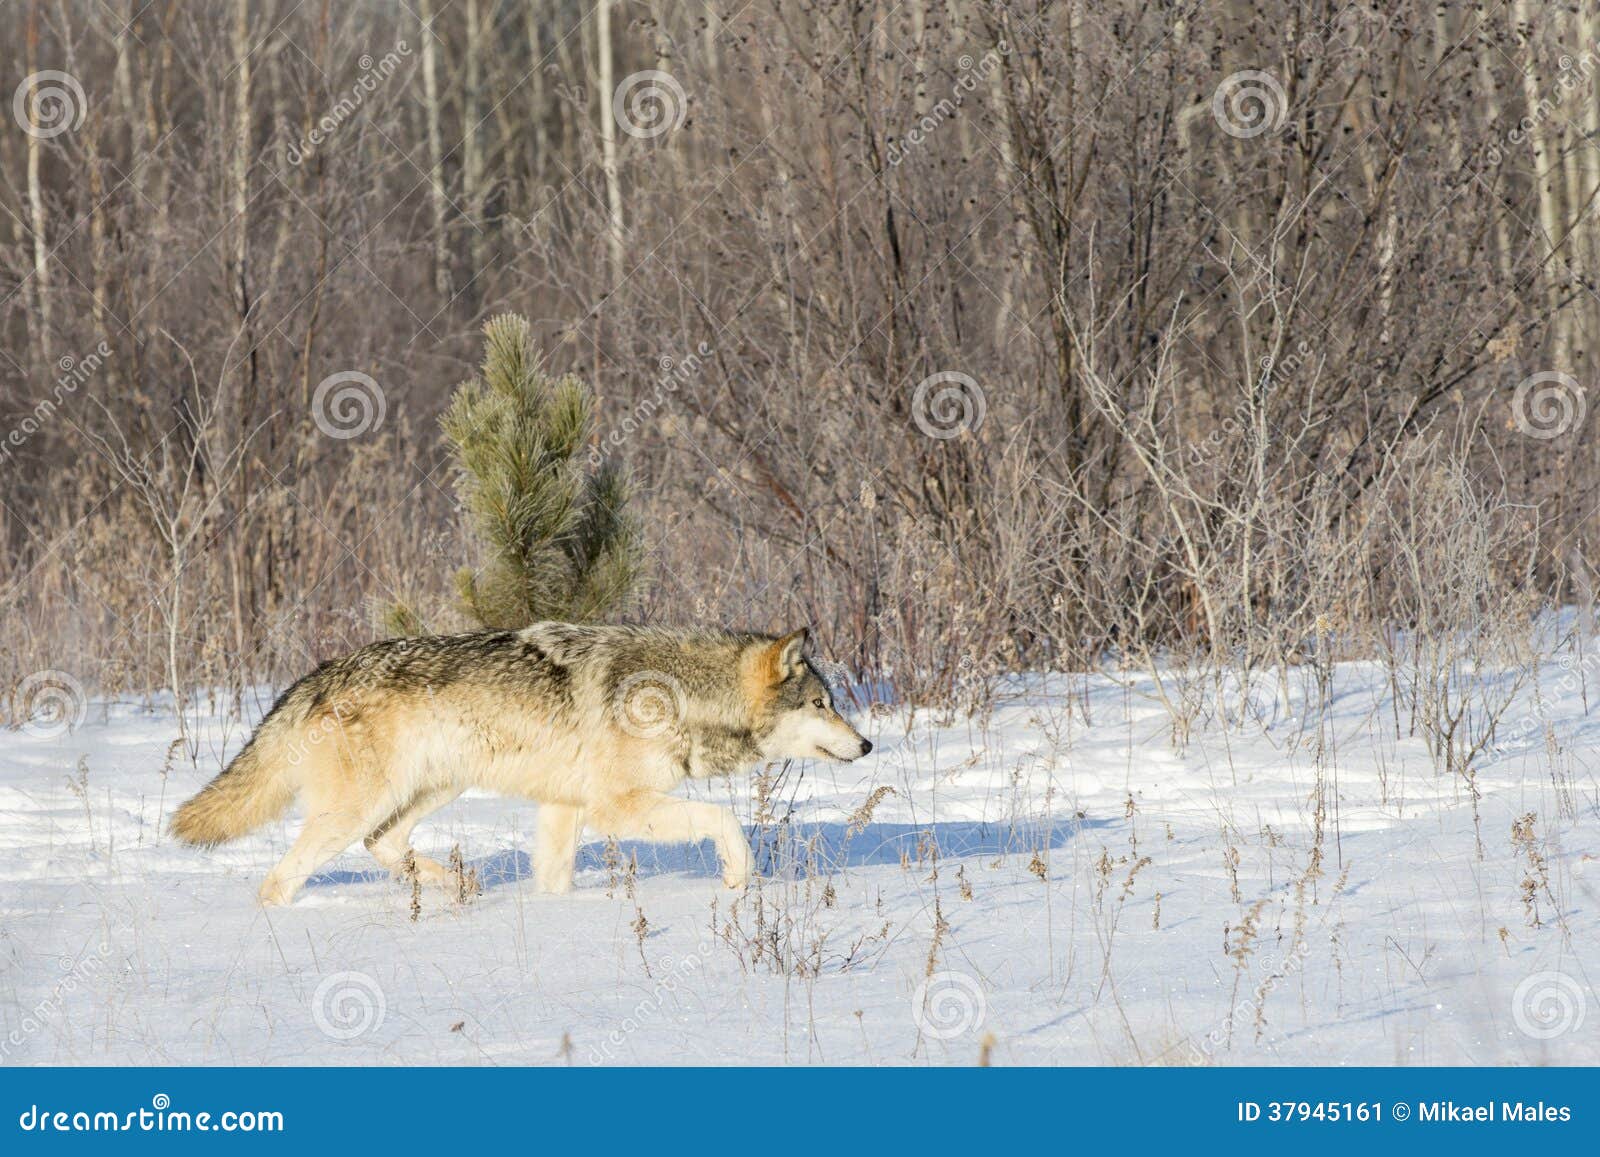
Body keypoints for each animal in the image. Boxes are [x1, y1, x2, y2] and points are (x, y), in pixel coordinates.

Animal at [171, 624, 871, 905]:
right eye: (822, 705)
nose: (866, 746)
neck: (683, 693)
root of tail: (322, 672)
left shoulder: (564, 808)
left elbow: (554, 878)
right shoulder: (617, 807)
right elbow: (725, 824)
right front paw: (736, 880)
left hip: (429, 790)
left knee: (384, 844)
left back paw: (458, 886)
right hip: (358, 808)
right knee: (280, 880)